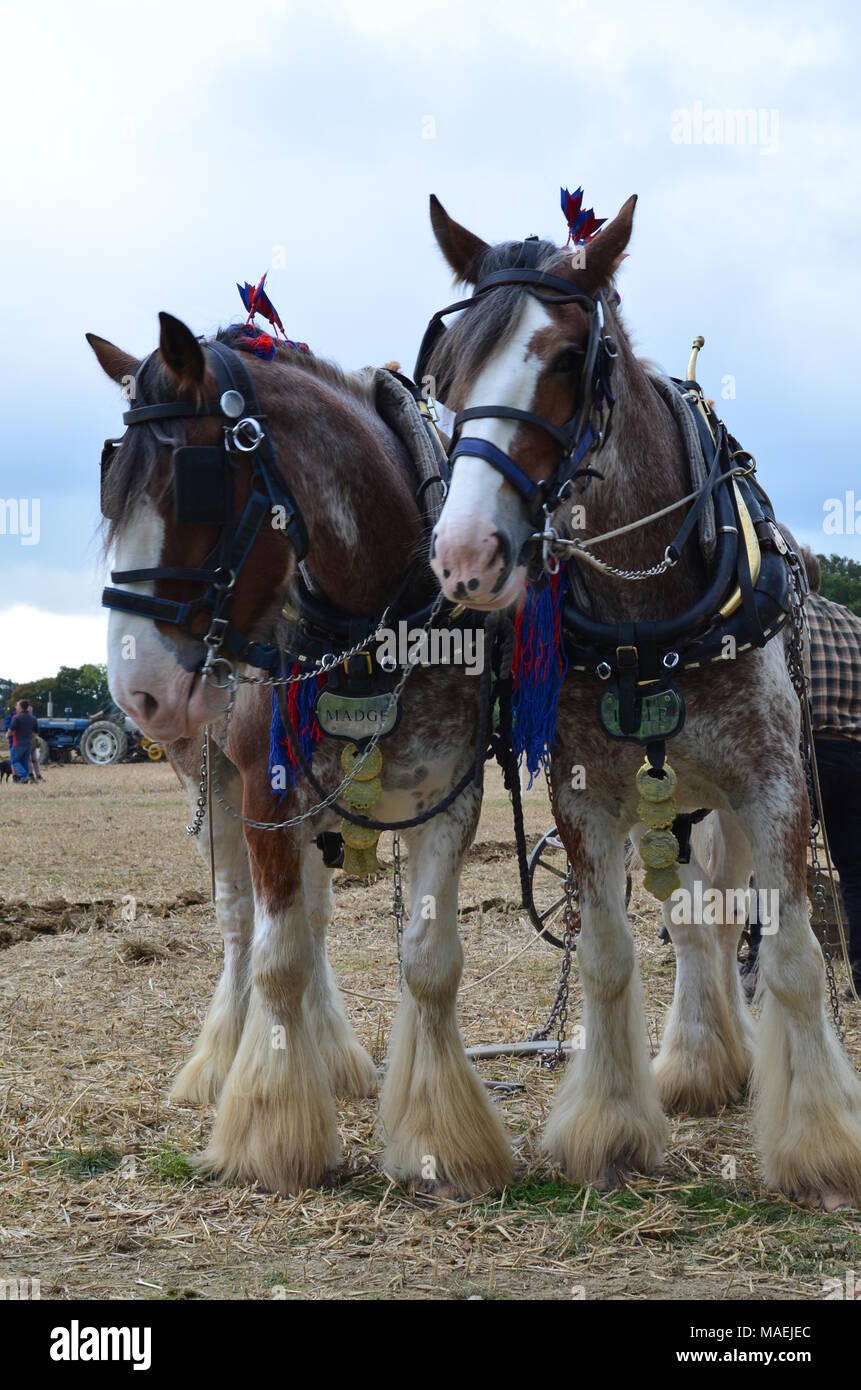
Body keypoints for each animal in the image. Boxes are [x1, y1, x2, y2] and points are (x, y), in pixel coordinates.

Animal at [88, 314, 512, 1196]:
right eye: (111, 488)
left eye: (193, 484)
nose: (138, 689)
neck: (368, 624)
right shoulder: (265, 792)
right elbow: (274, 956)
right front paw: (272, 1128)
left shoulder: (450, 796)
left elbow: (429, 962)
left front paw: (444, 1137)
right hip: (211, 782)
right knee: (241, 925)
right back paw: (226, 1058)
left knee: (310, 918)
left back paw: (331, 1054)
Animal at [423, 192, 861, 1207]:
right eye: (447, 367)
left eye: (563, 358)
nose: (462, 554)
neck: (645, 611)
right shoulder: (586, 798)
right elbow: (609, 953)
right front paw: (611, 1129)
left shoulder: (773, 781)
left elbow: (790, 955)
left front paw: (821, 1146)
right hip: (676, 807)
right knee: (695, 919)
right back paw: (699, 1064)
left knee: (727, 914)